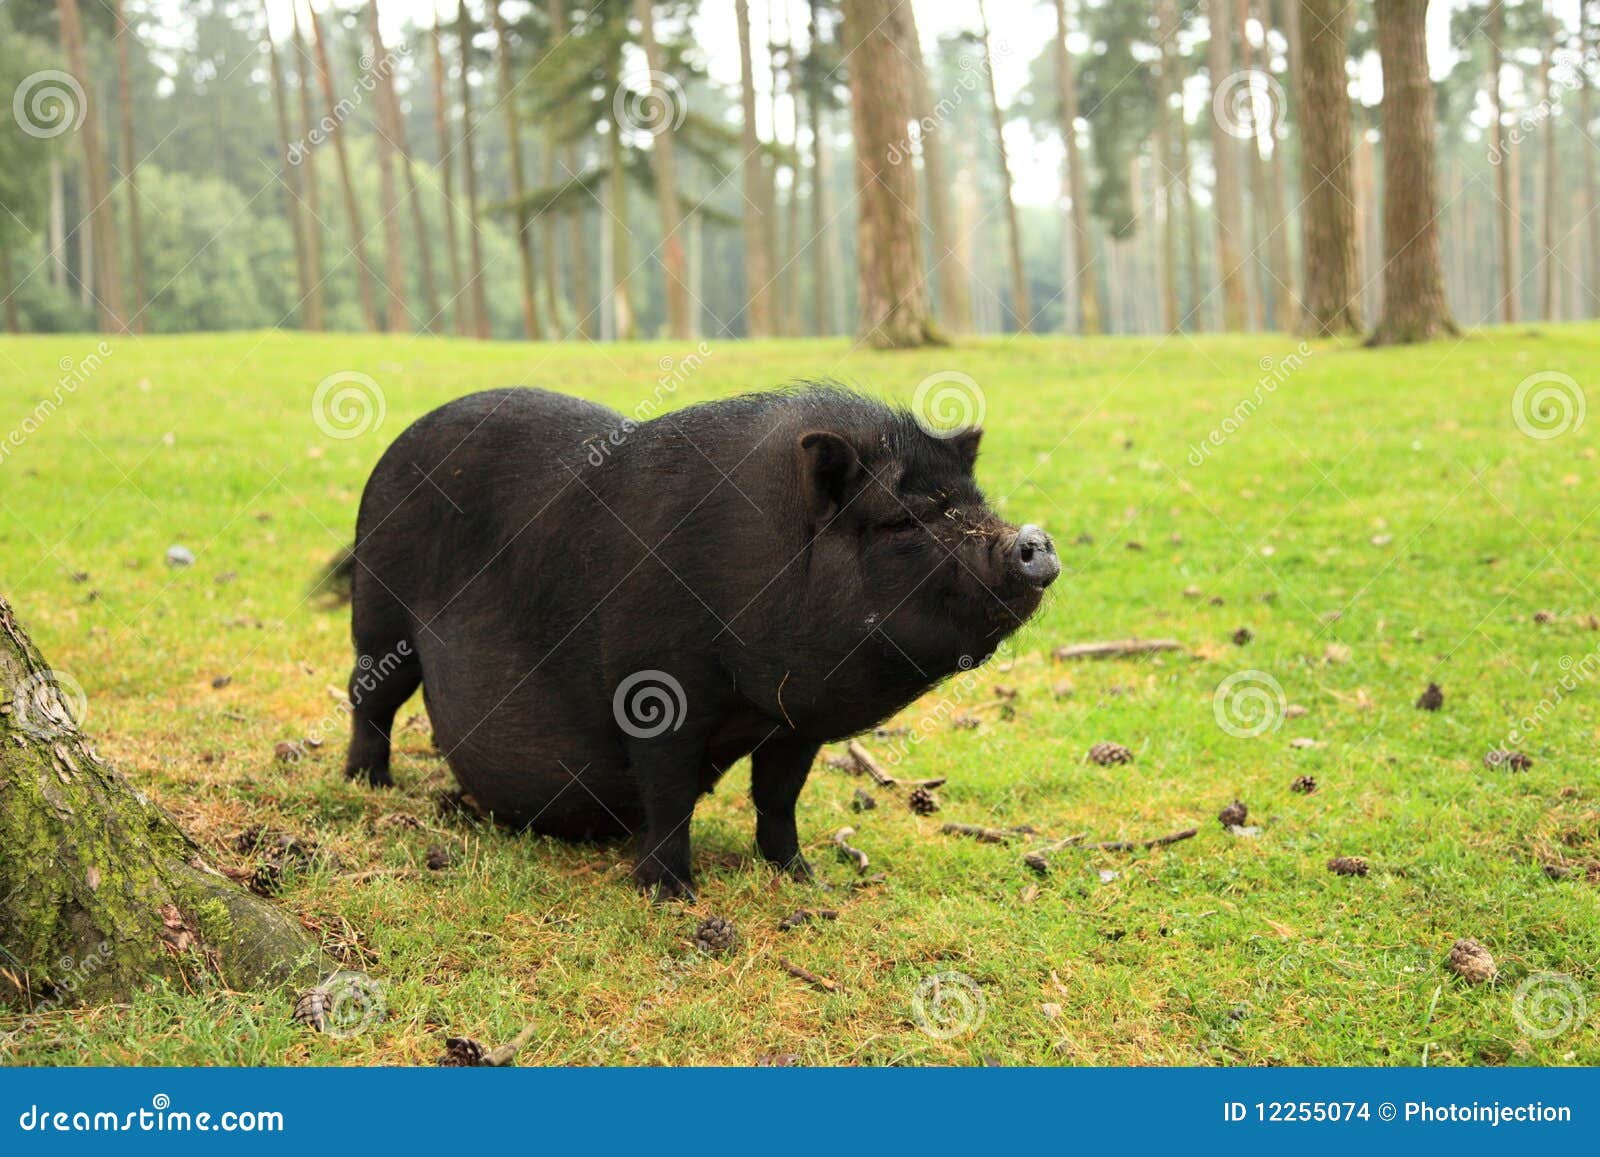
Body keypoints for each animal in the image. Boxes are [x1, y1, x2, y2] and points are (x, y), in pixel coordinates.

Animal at [335, 385, 1058, 900]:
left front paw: (805, 878)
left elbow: (778, 798)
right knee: (368, 696)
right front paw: (674, 895)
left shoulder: (791, 723)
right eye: (902, 520)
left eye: (977, 503)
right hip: (380, 615)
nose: (1032, 539)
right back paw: (370, 783)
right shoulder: (656, 689)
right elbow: (670, 793)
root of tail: (394, 446)